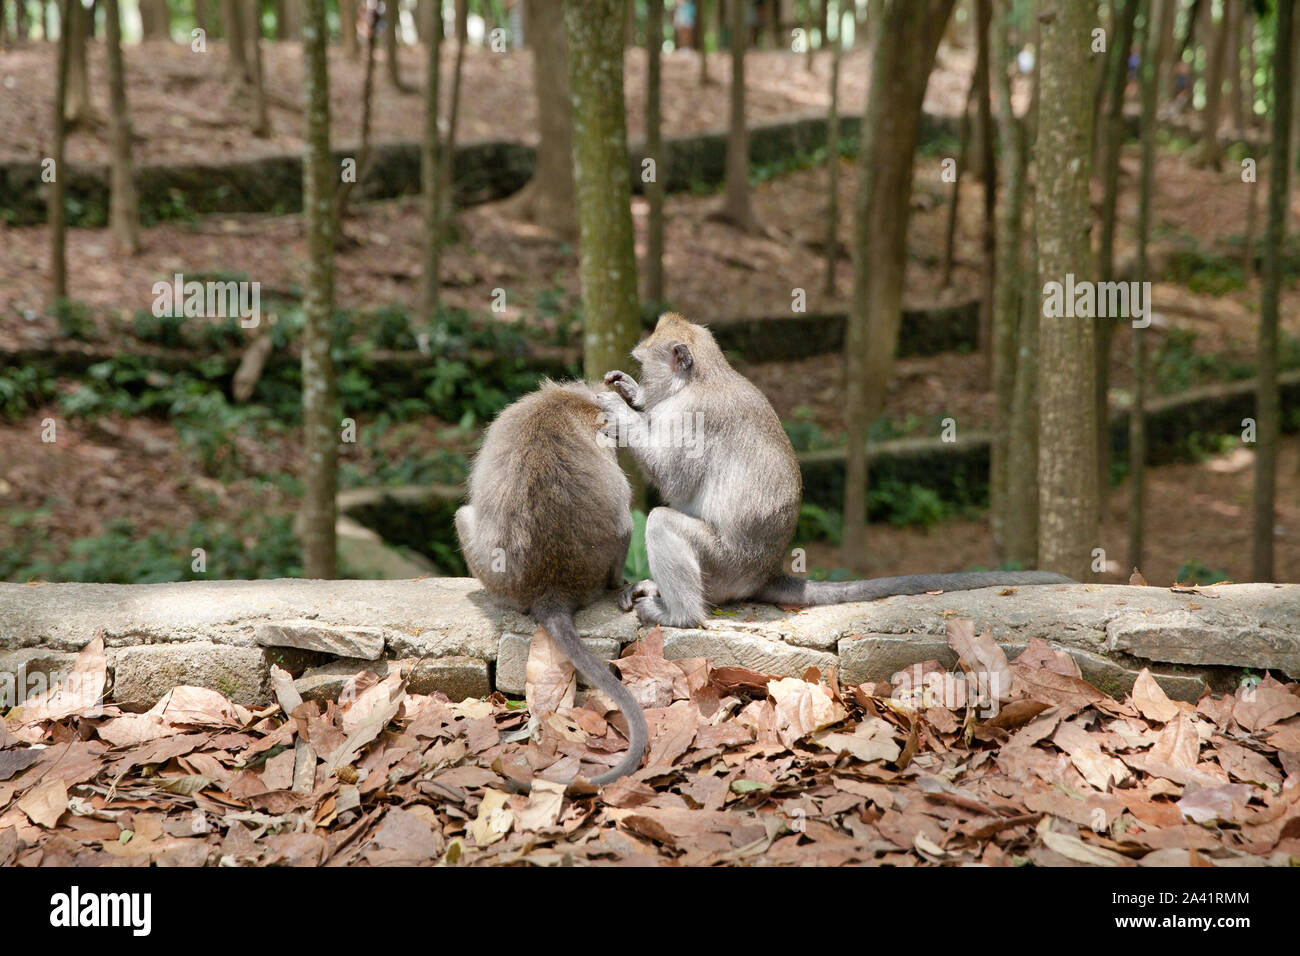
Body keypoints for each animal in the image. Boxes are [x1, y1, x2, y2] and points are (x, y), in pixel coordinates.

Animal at [596, 313, 1073, 629]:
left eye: (646, 364)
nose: (642, 382)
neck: (702, 378)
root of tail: (764, 572)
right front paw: (630, 395)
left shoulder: (693, 416)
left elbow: (674, 480)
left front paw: (622, 409)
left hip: (724, 565)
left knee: (663, 523)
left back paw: (679, 615)